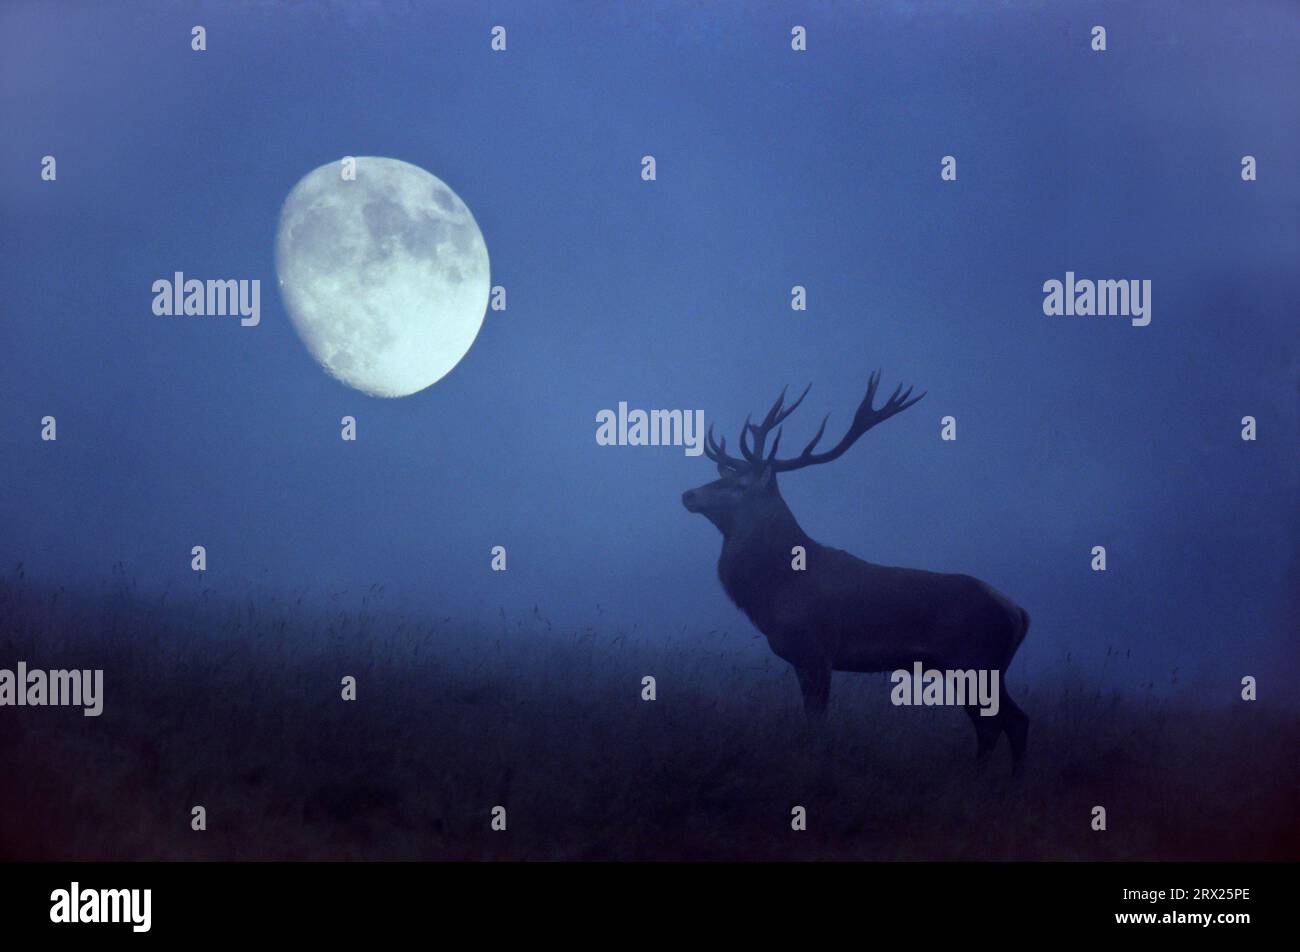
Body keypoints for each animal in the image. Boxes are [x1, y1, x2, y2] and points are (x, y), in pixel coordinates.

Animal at [681, 372, 1030, 771]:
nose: (689, 495)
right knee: (1008, 722)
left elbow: (817, 722)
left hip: (977, 661)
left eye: (737, 484)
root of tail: (1019, 613)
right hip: (973, 668)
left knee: (1002, 723)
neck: (777, 587)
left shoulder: (818, 649)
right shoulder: (802, 658)